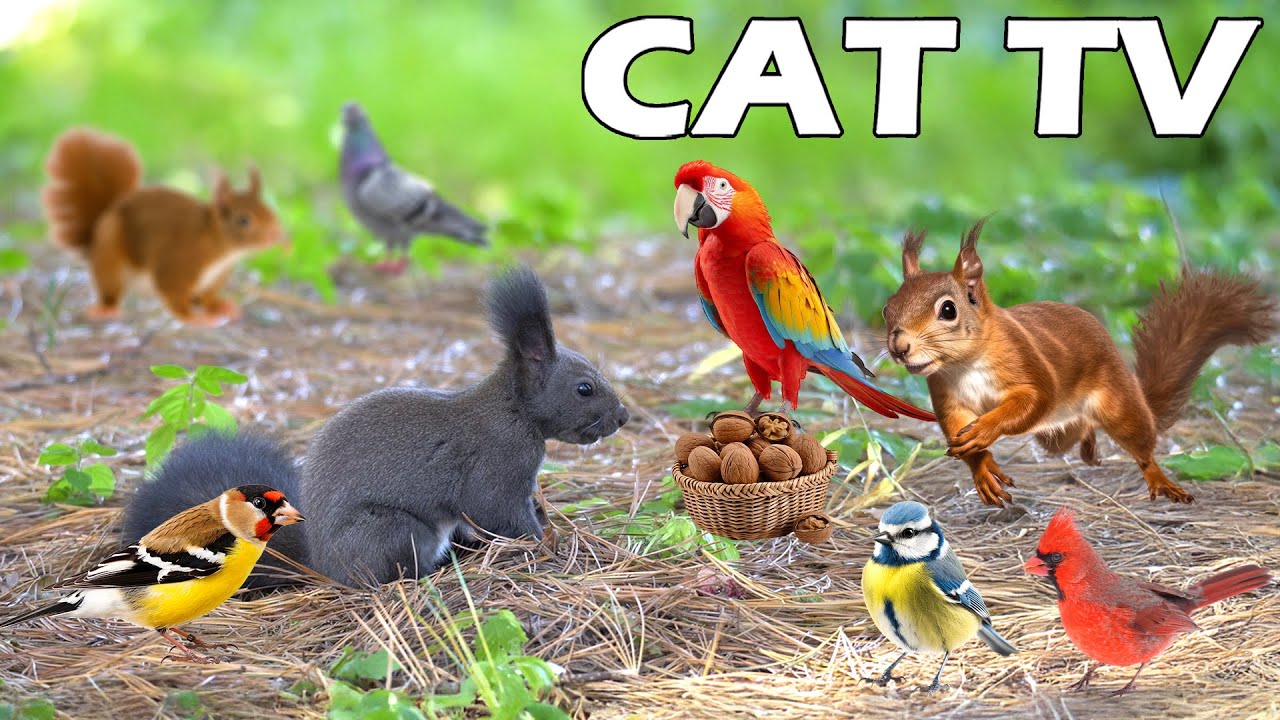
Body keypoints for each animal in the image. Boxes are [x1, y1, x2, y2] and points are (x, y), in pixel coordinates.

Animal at [42, 128, 286, 326]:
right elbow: (174, 296)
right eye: (244, 220)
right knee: (110, 289)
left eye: (271, 211)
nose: (277, 234)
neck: (216, 245)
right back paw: (105, 309)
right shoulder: (178, 264)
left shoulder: (215, 278)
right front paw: (195, 319)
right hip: (109, 257)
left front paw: (220, 307)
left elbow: (208, 297)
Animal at [122, 267, 630, 587]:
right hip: (396, 533)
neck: (514, 410)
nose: (623, 416)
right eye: (584, 389)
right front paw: (548, 544)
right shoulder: (497, 467)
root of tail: (323, 564)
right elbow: (501, 514)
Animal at [882, 219, 1275, 508]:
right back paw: (1087, 450)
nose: (900, 347)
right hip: (1055, 437)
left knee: (1141, 446)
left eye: (948, 310)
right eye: (887, 308)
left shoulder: (1029, 366)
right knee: (1079, 432)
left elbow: (1032, 400)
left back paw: (1160, 479)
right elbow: (957, 430)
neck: (964, 366)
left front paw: (985, 430)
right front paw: (984, 469)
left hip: (1119, 405)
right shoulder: (948, 397)